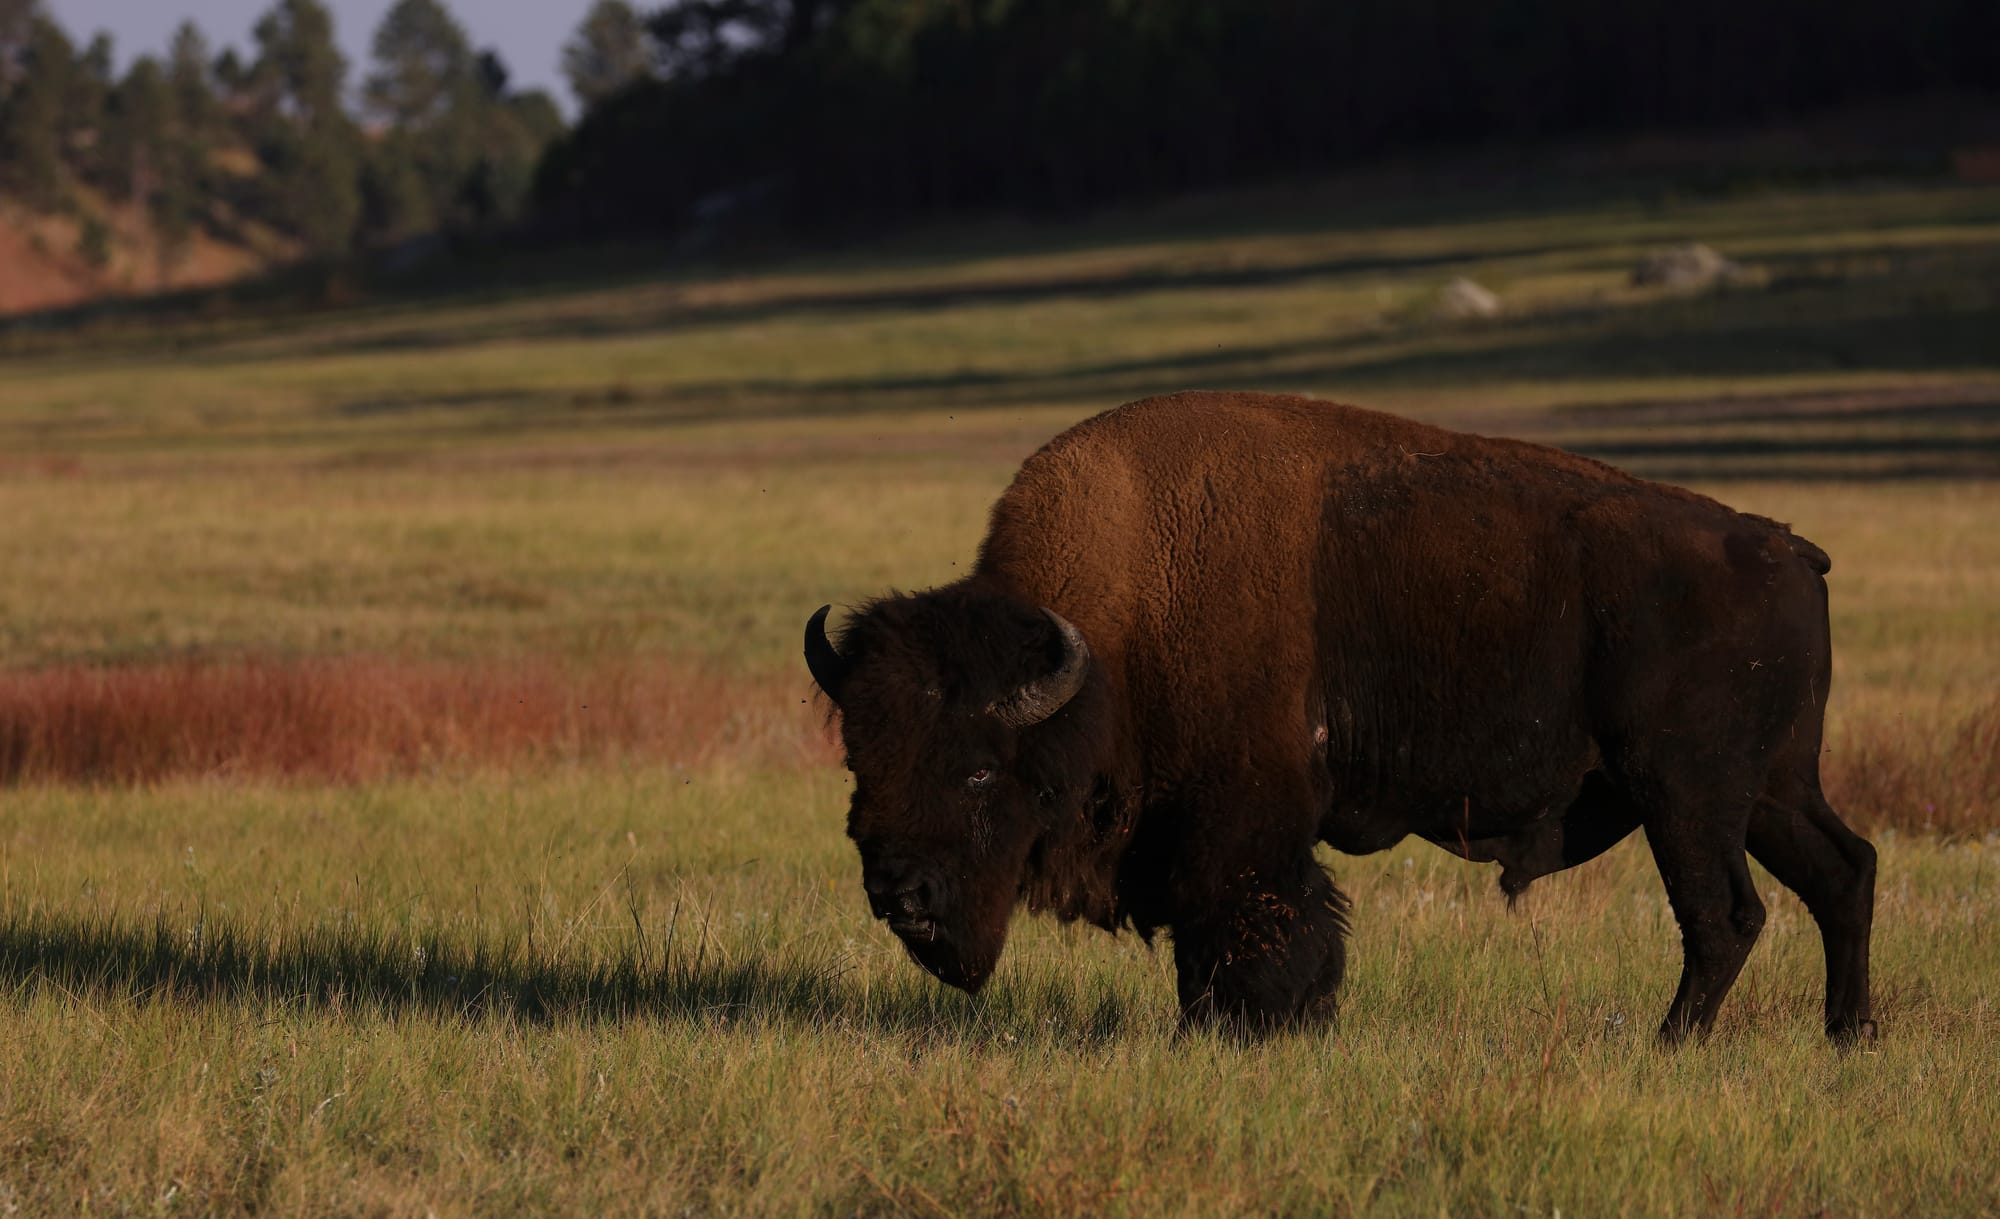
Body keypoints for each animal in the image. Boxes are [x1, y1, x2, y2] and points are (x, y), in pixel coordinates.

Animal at [804, 392, 1877, 1043]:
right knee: (1843, 870)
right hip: (1772, 789)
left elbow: (1252, 926)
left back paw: (1669, 1044)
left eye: (981, 767)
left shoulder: (1240, 827)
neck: (1116, 634)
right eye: (863, 761)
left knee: (1725, 914)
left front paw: (1244, 1028)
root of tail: (1790, 549)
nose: (897, 890)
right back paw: (1848, 1034)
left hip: (1687, 794)